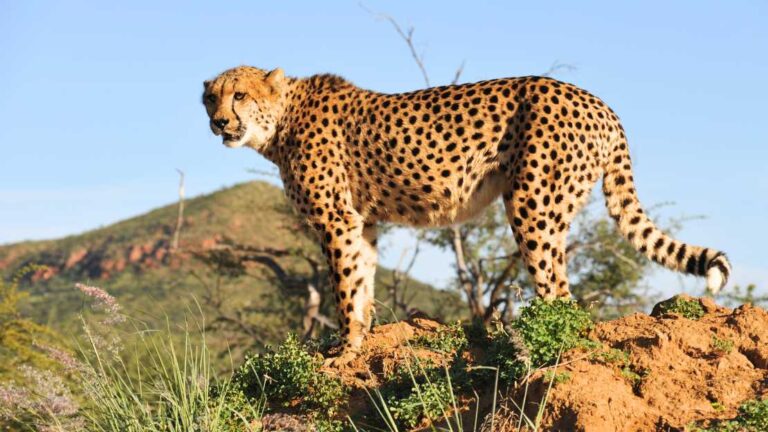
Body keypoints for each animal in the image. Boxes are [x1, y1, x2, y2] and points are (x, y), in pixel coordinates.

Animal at [202, 66, 731, 364]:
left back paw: (533, 347)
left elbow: (346, 289)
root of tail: (598, 102)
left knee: (560, 293)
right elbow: (363, 282)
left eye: (239, 95)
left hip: (532, 203)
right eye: (210, 97)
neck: (280, 122)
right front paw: (361, 341)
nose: (218, 122)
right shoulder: (362, 223)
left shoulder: (337, 221)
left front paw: (344, 351)